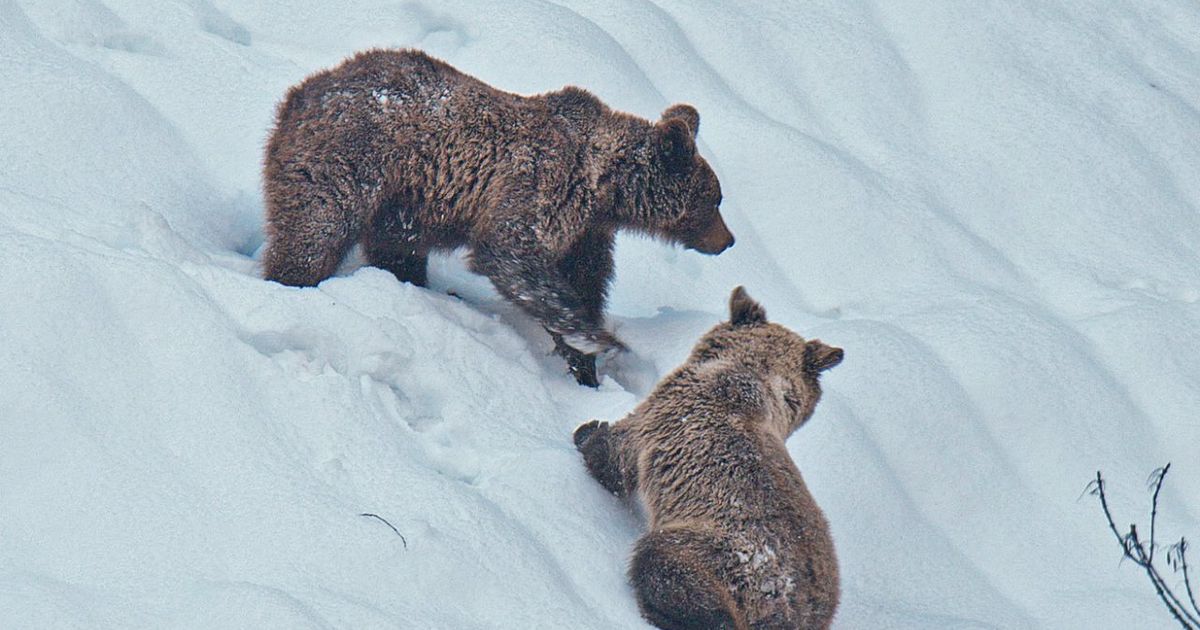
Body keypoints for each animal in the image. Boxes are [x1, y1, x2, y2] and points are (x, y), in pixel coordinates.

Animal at [261, 49, 734, 386]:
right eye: (716, 199)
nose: (728, 240)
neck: (605, 187)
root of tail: (297, 96)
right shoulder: (542, 185)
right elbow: (511, 255)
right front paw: (598, 339)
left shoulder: (587, 232)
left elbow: (585, 281)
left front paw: (585, 363)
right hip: (350, 159)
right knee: (316, 229)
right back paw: (292, 282)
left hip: (398, 203)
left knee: (394, 250)